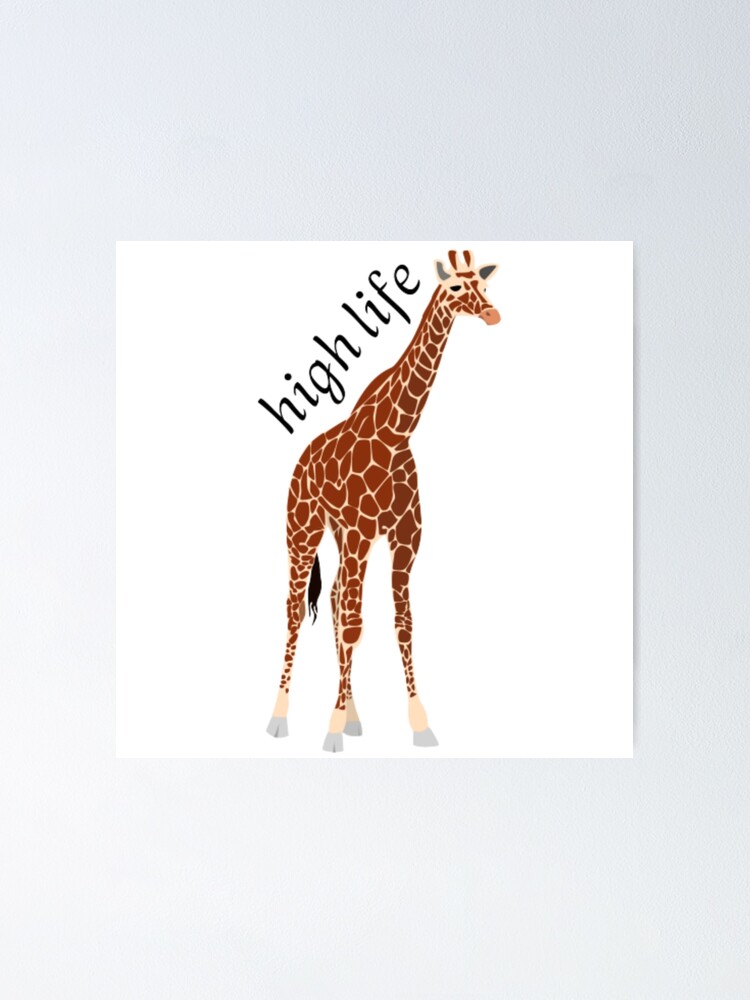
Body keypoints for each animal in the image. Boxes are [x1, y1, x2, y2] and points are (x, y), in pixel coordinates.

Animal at [266, 249, 501, 752]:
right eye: (456, 287)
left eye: (486, 286)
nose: (492, 314)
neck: (396, 434)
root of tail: (299, 462)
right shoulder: (361, 531)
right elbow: (354, 624)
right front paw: (331, 729)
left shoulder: (405, 537)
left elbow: (401, 623)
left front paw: (418, 723)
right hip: (304, 529)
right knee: (297, 610)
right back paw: (279, 716)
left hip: (343, 535)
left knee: (336, 598)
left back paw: (353, 714)